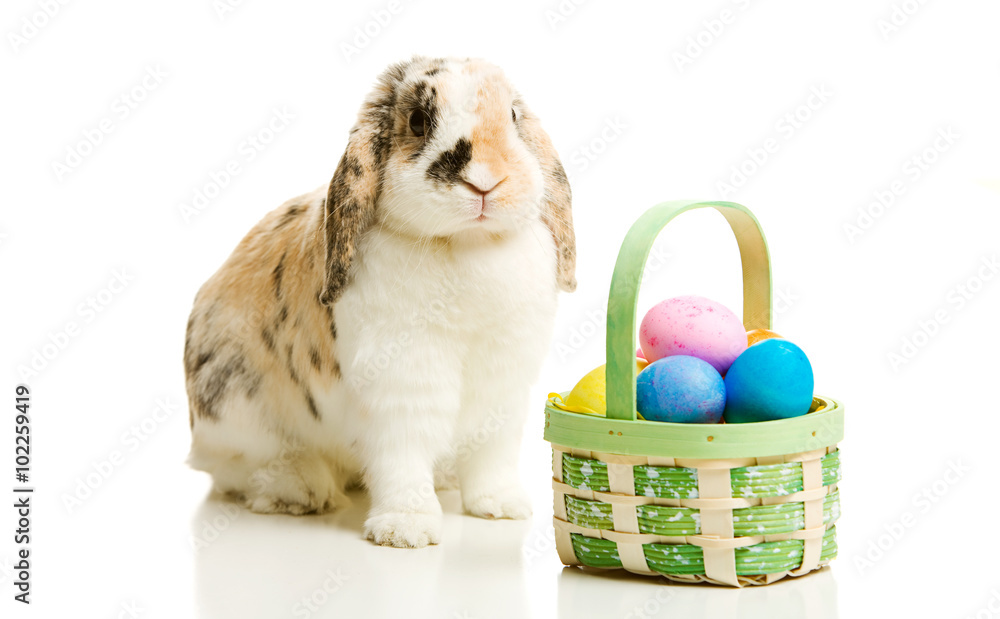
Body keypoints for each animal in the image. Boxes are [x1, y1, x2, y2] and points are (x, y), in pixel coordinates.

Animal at [183, 56, 575, 548]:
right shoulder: (401, 381)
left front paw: (502, 508)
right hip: (235, 413)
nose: (485, 181)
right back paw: (300, 490)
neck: (463, 243)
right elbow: (402, 454)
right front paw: (405, 531)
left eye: (513, 116)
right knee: (236, 469)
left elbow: (492, 454)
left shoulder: (503, 385)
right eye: (418, 121)